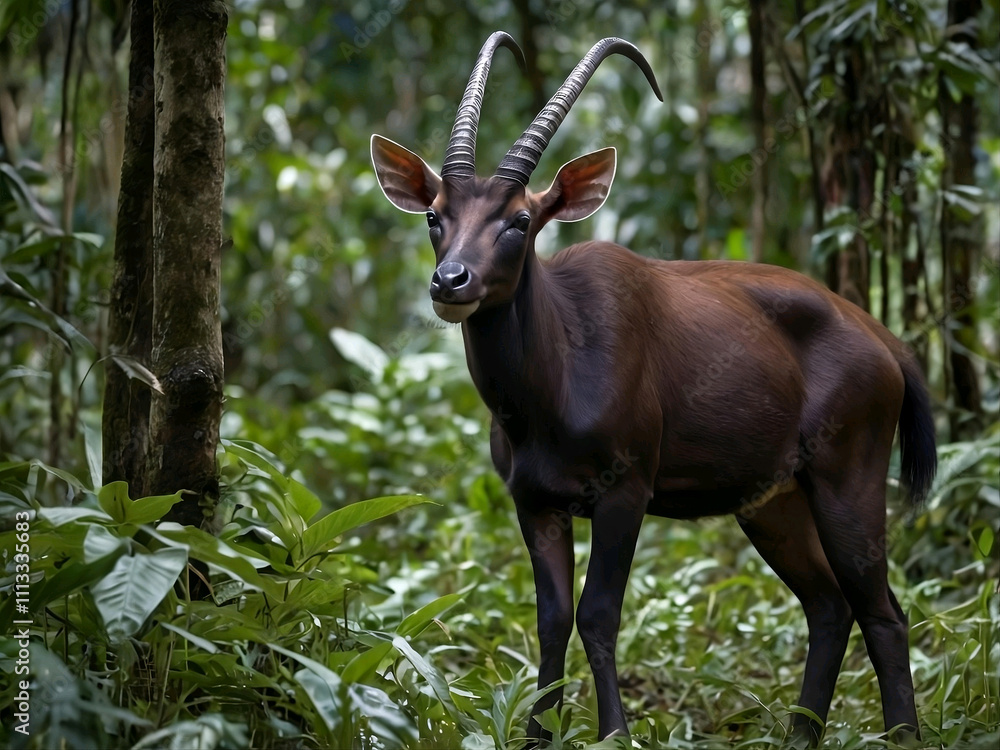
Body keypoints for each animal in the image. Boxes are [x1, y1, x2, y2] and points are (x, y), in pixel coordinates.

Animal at [371, 32, 935, 747]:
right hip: (770, 501)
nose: (451, 281)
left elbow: (598, 614)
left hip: (848, 480)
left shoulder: (627, 491)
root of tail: (888, 344)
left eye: (520, 220)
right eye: (435, 216)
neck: (551, 389)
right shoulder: (536, 502)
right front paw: (538, 734)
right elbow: (552, 618)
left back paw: (901, 733)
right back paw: (800, 734)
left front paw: (615, 732)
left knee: (882, 609)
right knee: (830, 606)